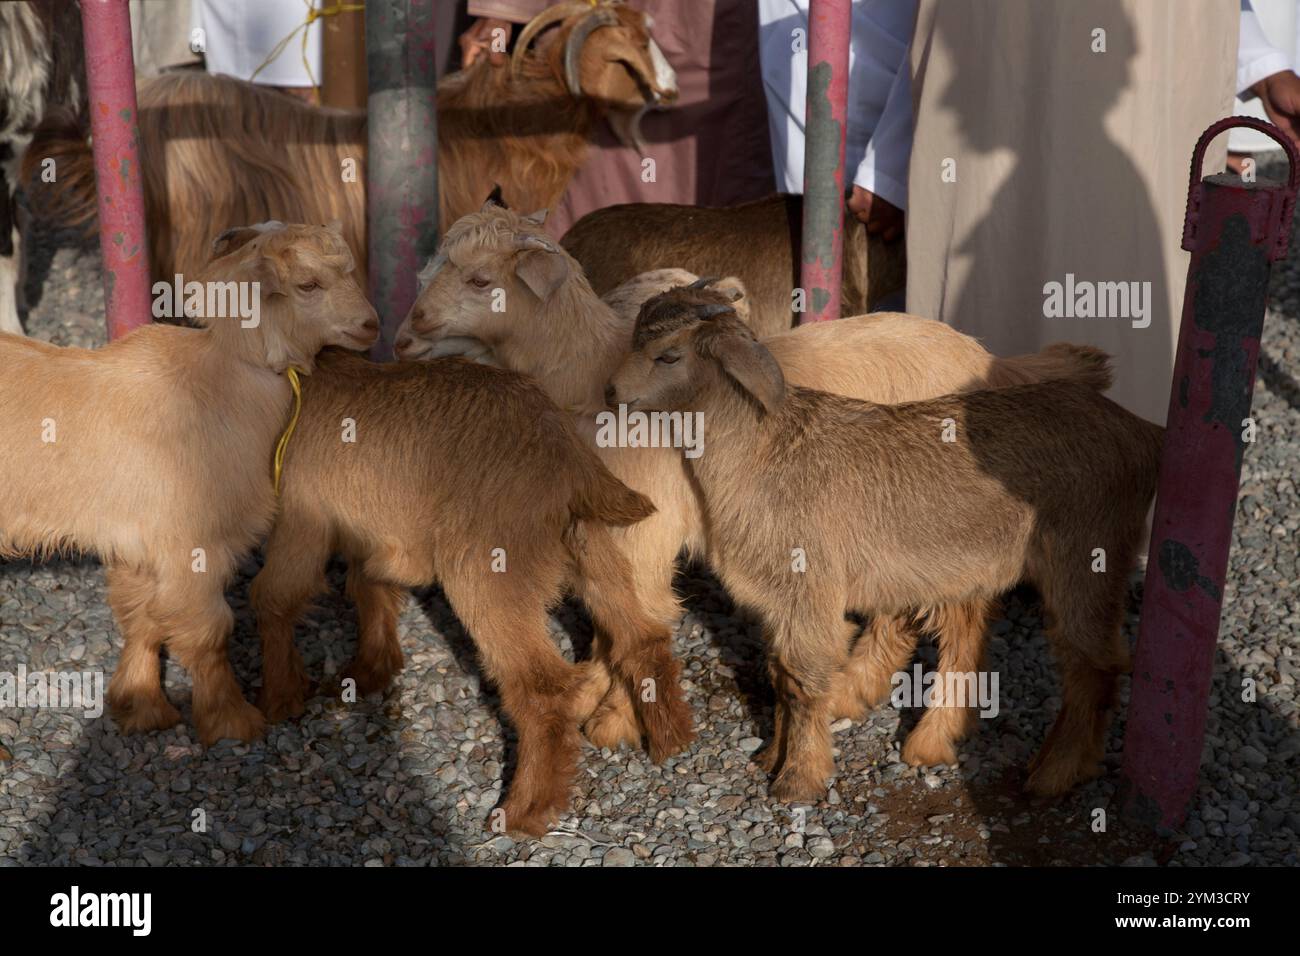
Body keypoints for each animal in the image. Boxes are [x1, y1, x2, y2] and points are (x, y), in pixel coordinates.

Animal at [0, 221, 378, 744]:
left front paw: (142, 707)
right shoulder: (191, 545)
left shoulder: (137, 544)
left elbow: (141, 616)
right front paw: (232, 720)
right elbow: (208, 631)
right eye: (307, 284)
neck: (217, 382)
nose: (371, 325)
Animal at [248, 348, 692, 836]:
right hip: (593, 553)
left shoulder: (301, 523)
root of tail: (567, 458)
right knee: (642, 638)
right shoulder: (375, 537)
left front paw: (279, 697)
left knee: (544, 687)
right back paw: (669, 738)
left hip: (483, 577)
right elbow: (370, 591)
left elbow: (271, 599)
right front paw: (369, 670)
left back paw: (525, 810)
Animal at [606, 284, 1163, 800]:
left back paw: (1053, 771)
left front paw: (799, 779)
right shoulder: (781, 600)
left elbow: (803, 680)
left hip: (1089, 561)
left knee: (1092, 662)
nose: (611, 392)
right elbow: (781, 675)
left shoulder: (810, 588)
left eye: (669, 355)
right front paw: (772, 756)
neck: (762, 451)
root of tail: (1143, 433)